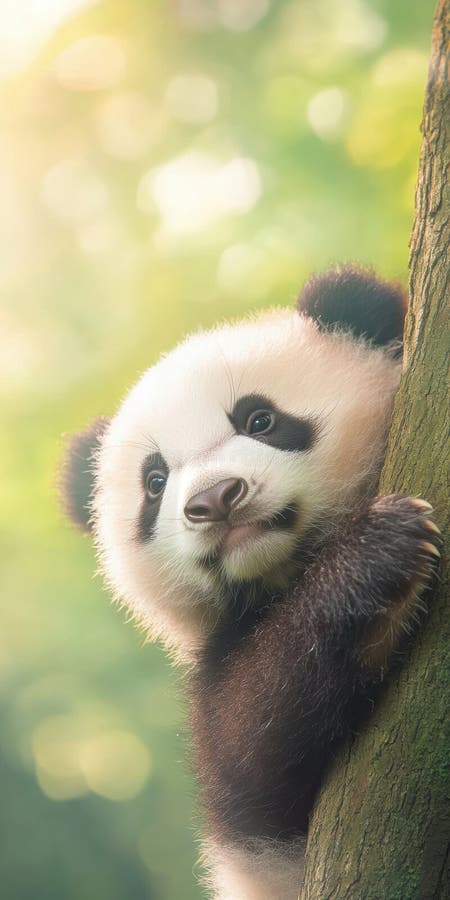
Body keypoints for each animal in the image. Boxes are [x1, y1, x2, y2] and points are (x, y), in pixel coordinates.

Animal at [61, 266, 440, 900]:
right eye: (155, 482)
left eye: (259, 420)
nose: (215, 499)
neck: (287, 569)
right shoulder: (219, 677)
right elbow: (253, 744)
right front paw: (375, 555)